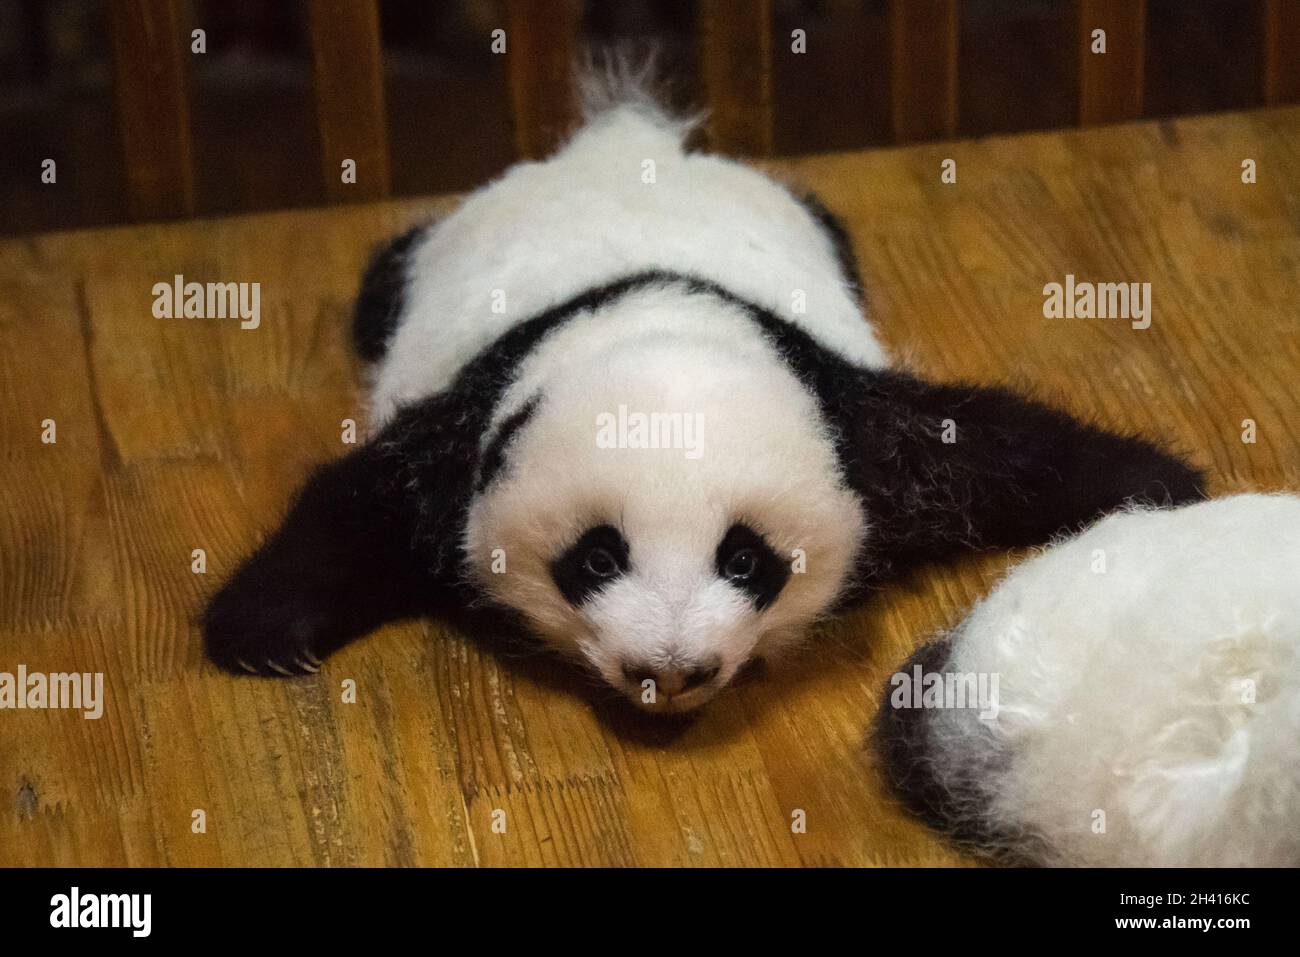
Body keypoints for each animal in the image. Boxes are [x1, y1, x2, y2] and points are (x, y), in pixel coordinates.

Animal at [203, 71, 1203, 714]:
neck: (661, 314)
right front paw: (256, 629)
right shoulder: (469, 425)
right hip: (437, 246)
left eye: (746, 558)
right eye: (596, 557)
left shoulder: (855, 422)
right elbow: (357, 502)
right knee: (387, 274)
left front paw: (1159, 481)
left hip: (807, 219)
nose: (672, 669)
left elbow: (991, 443)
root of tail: (623, 142)